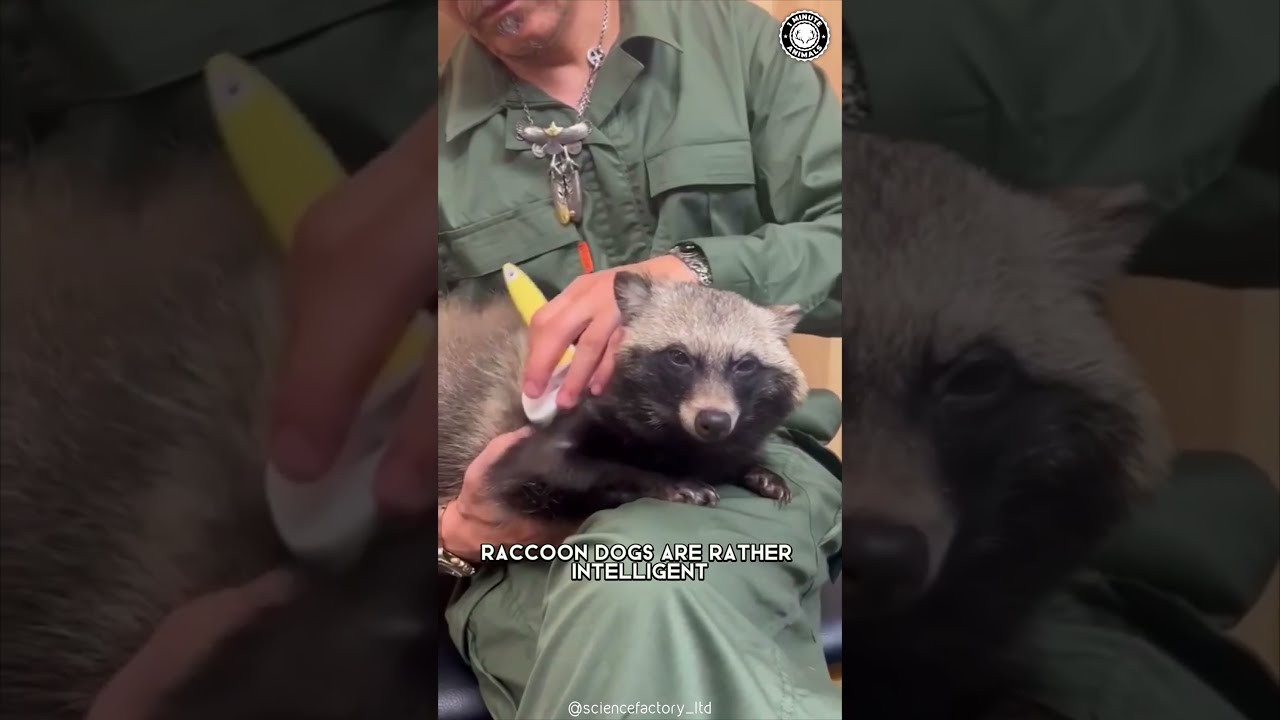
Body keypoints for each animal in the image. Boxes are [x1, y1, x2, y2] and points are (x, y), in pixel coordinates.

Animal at [438, 274, 810, 520]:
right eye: (678, 357)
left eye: (745, 365)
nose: (713, 421)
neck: (679, 436)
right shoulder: (553, 427)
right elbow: (548, 466)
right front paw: (660, 480)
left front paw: (756, 469)